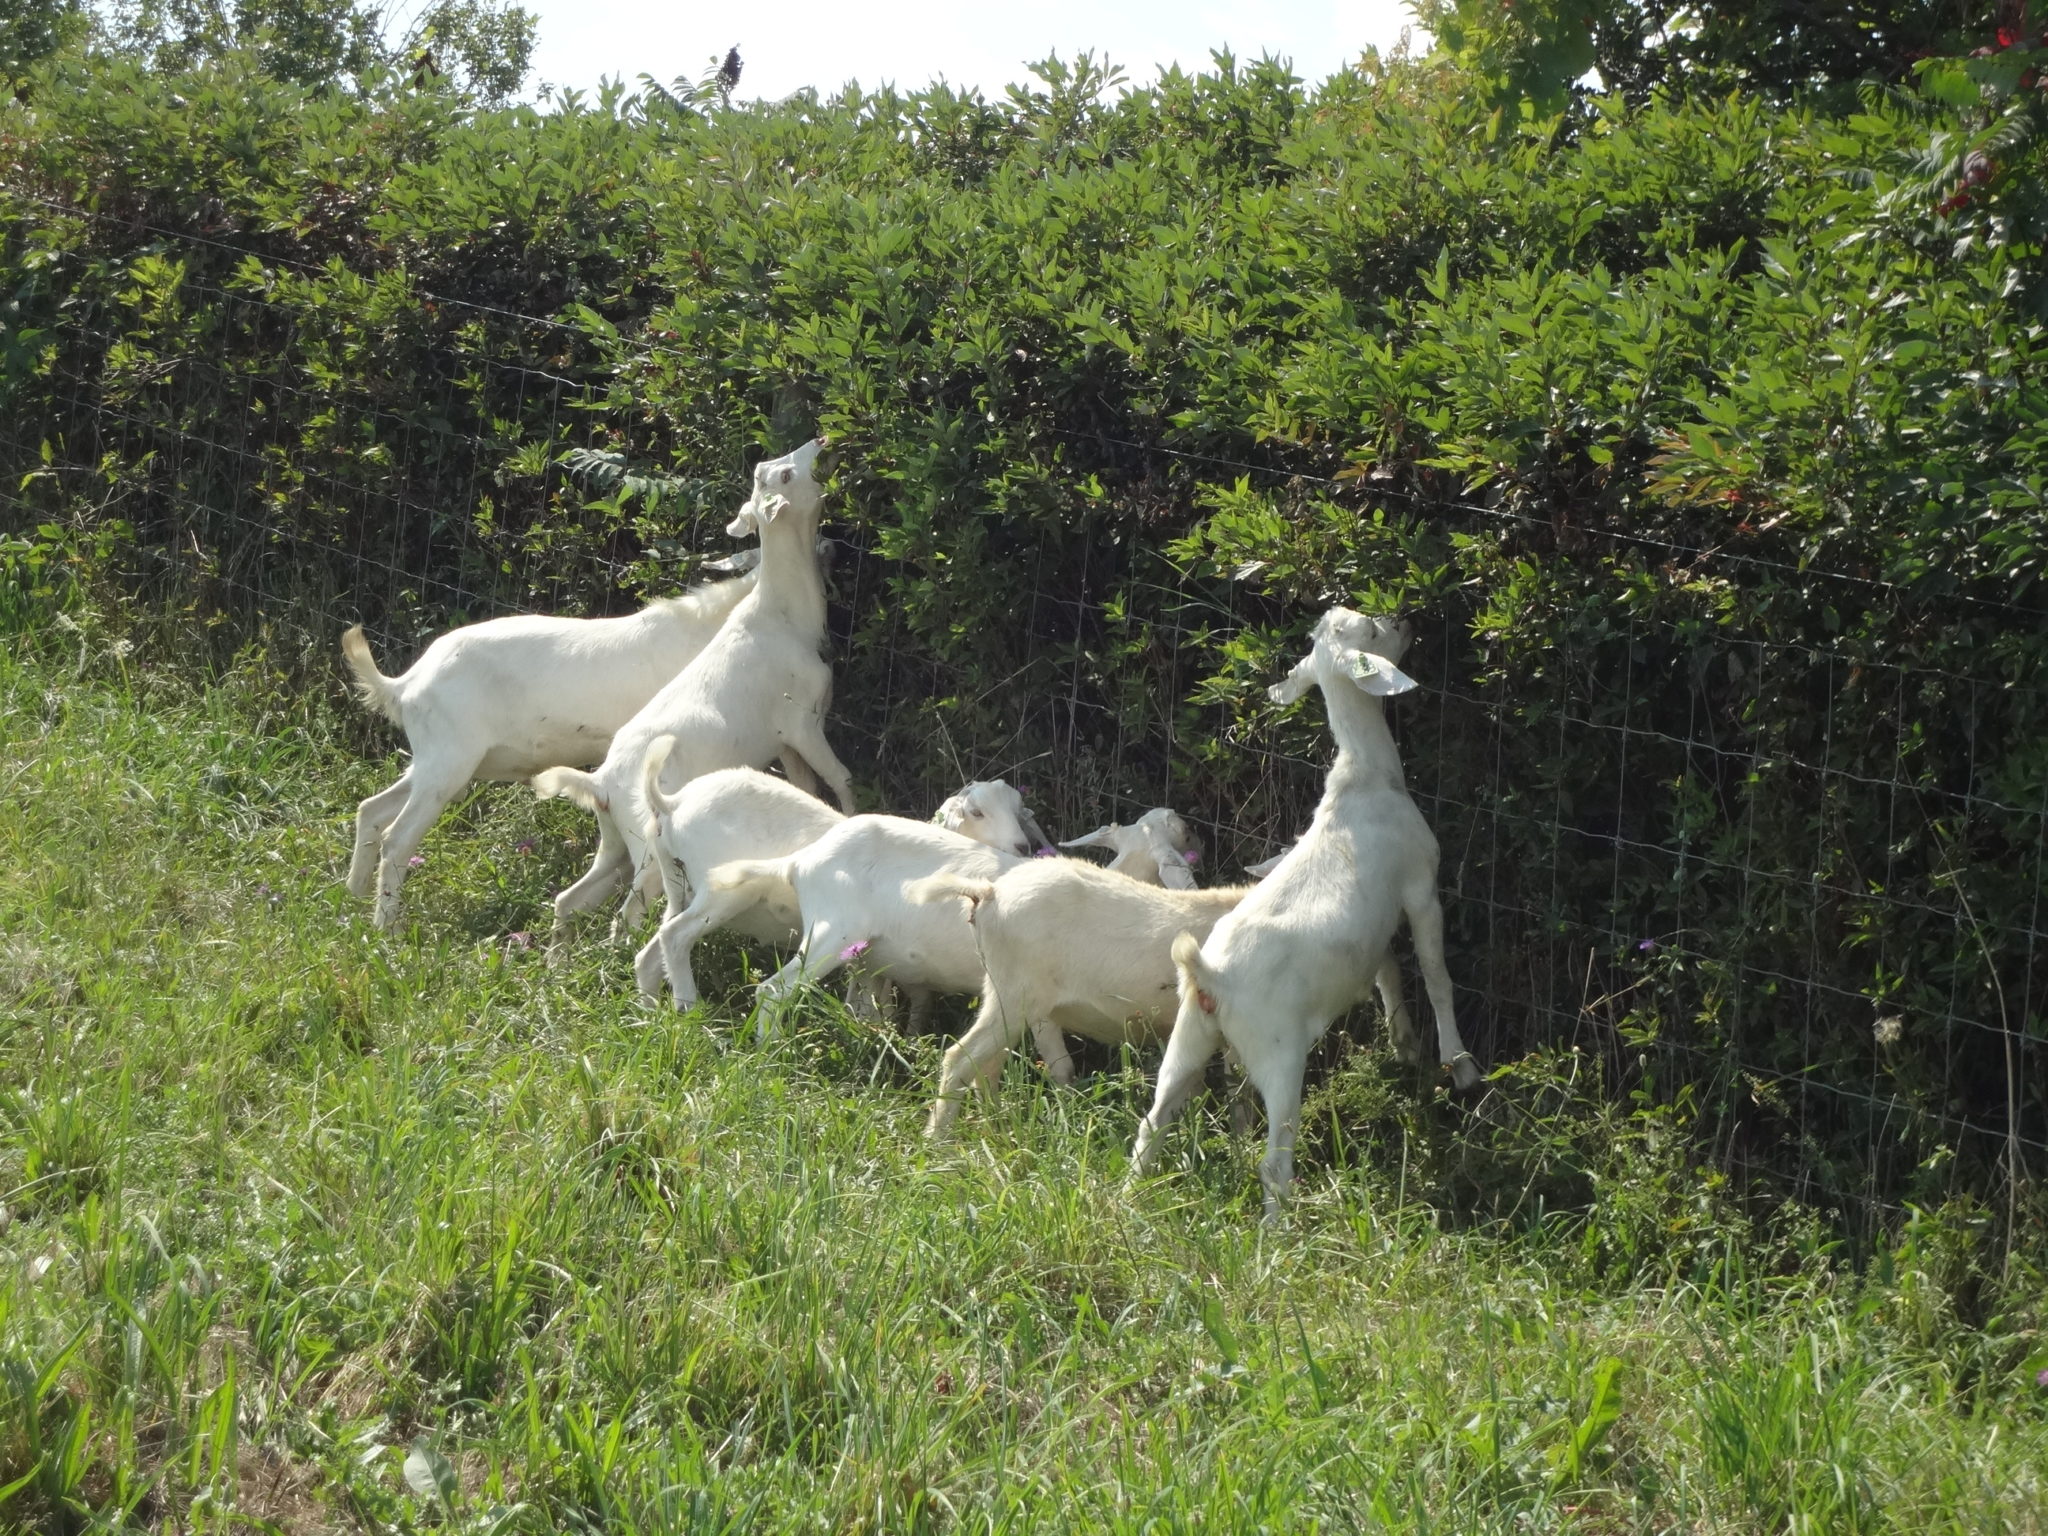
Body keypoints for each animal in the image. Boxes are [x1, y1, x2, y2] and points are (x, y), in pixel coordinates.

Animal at [340, 569, 756, 931]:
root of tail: (405, 684)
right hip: (447, 761)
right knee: (397, 838)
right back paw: (386, 930)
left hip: (436, 763)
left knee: (371, 810)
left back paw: (353, 901)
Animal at [533, 437, 857, 945]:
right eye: (784, 476)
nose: (823, 440)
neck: (782, 616)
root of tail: (600, 782)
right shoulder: (803, 722)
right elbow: (841, 778)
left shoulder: (783, 741)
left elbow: (807, 788)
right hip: (648, 849)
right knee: (625, 915)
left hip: (614, 841)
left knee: (570, 899)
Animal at [628, 751, 1049, 1011]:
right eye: (976, 812)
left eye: (1021, 811)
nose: (1022, 846)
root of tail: (672, 803)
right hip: (720, 895)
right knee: (676, 937)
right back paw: (687, 1006)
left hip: (678, 889)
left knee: (651, 955)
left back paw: (653, 1017)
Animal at [911, 857, 1252, 1135]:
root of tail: (988, 892)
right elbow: (1239, 1092)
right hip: (1016, 994)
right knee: (960, 1059)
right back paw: (939, 1141)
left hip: (1004, 995)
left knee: (988, 1065)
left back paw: (997, 1129)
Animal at [1128, 608, 1482, 1221]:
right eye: (1371, 631)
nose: (1404, 619)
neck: (1365, 779)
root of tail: (1209, 978)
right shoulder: (1419, 884)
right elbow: (1436, 975)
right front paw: (1458, 1064)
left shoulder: (1378, 920)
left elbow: (1388, 971)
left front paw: (1405, 1045)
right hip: (1279, 1054)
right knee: (1273, 1163)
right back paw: (1278, 1234)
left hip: (1188, 1037)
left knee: (1151, 1126)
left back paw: (1125, 1203)